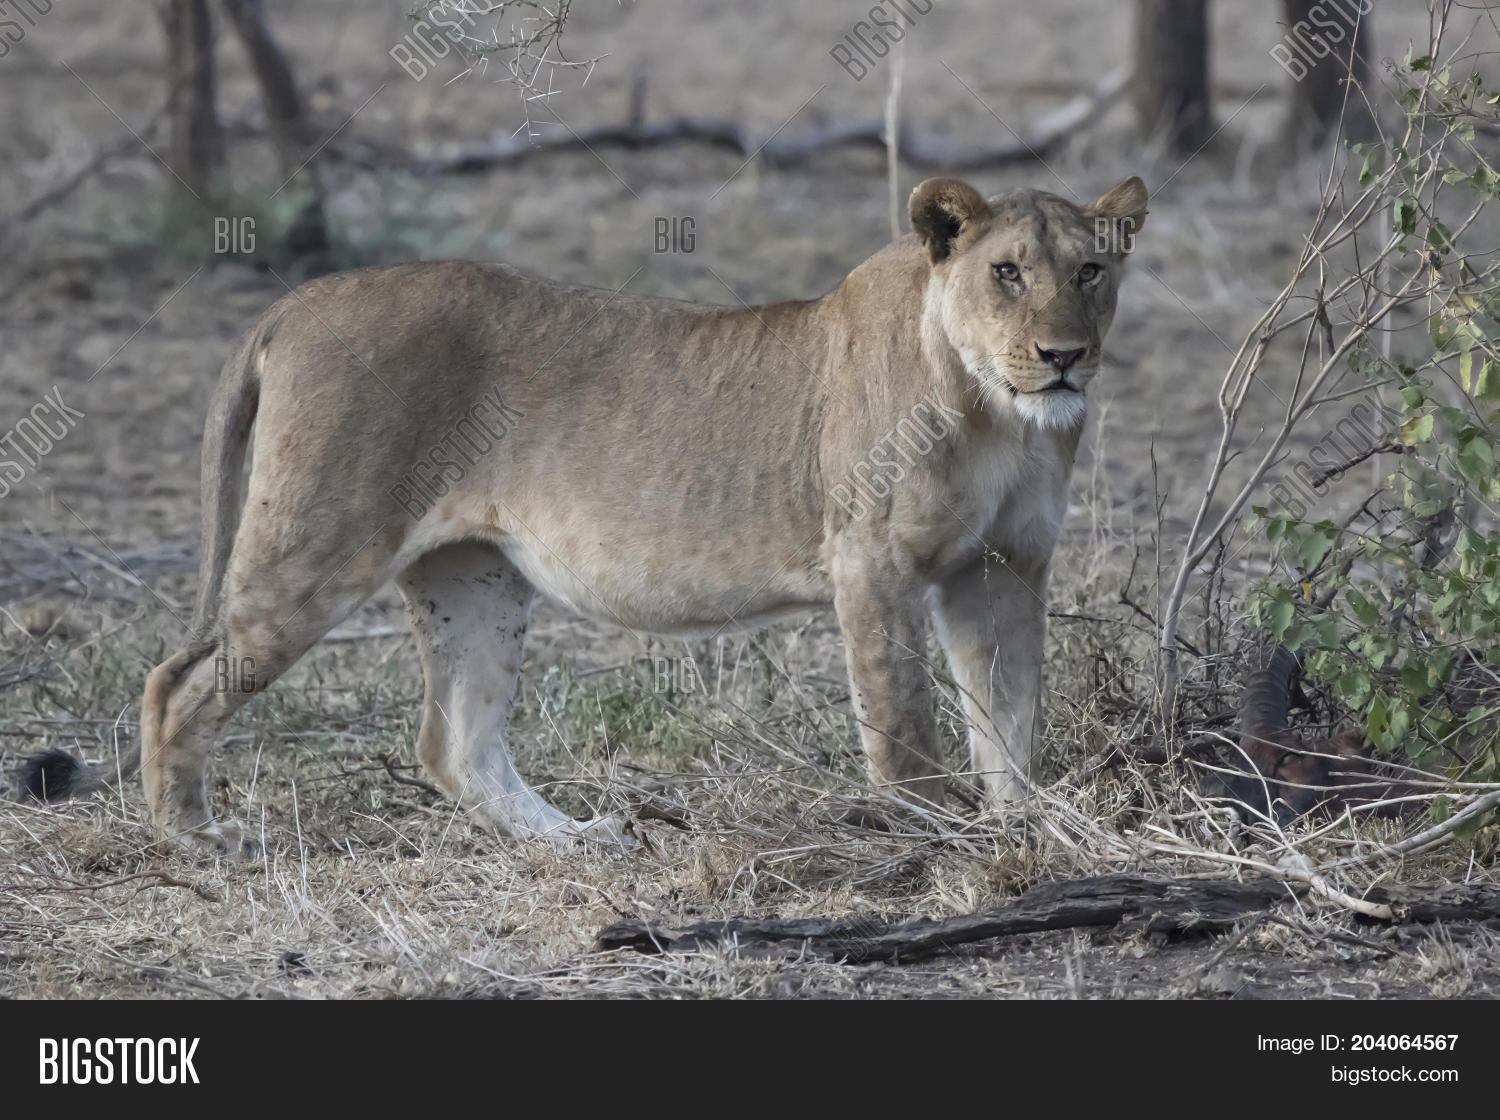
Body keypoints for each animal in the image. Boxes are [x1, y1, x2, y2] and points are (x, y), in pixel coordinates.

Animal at [21, 175, 1148, 853]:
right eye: (1007, 272)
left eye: (1092, 271)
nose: (1065, 355)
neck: (1001, 414)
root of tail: (300, 300)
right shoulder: (873, 562)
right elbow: (906, 722)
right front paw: (926, 836)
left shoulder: (1001, 569)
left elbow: (1009, 714)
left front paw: (1026, 826)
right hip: (315, 544)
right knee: (176, 682)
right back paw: (192, 838)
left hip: (472, 574)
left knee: (457, 742)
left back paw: (578, 839)